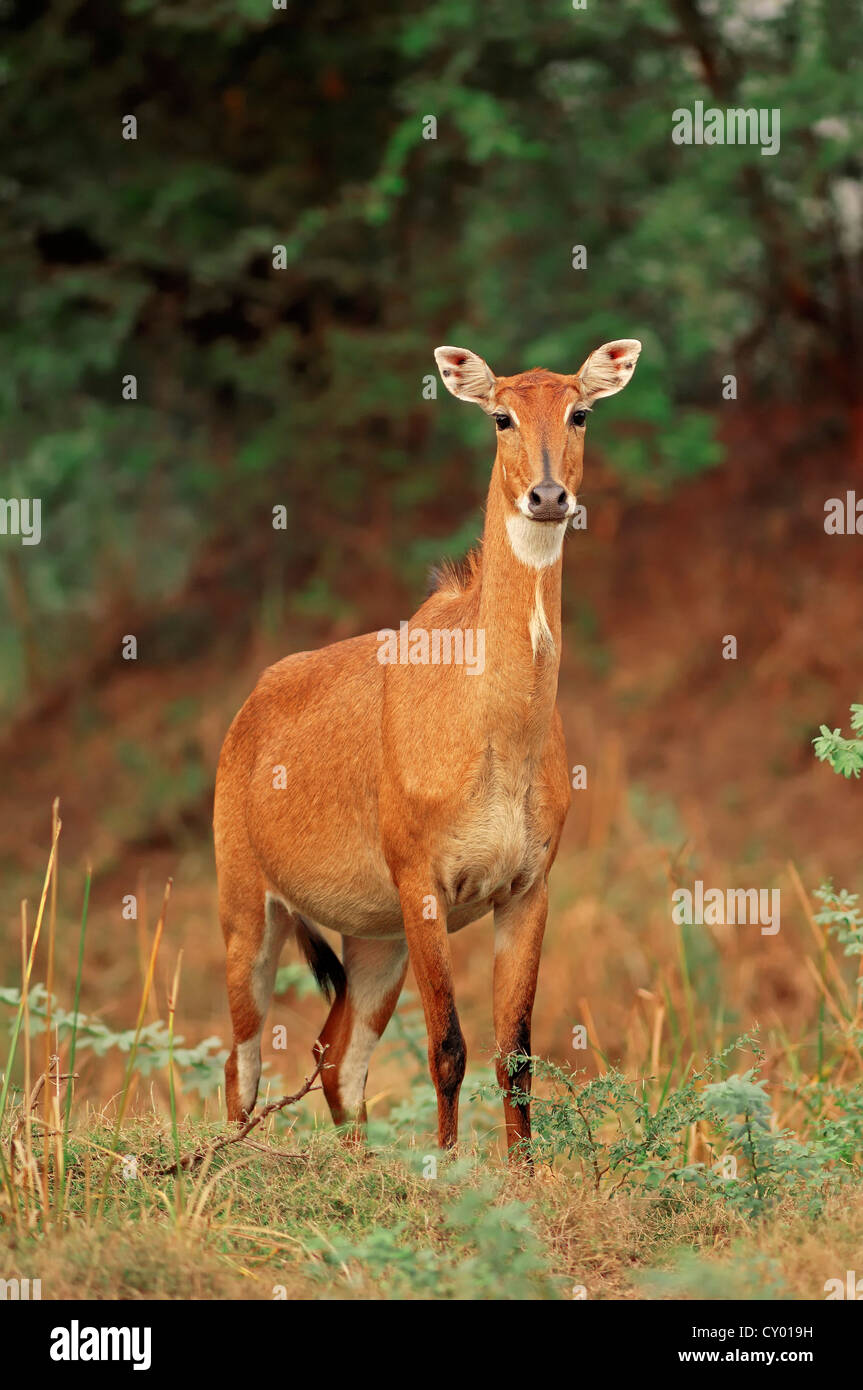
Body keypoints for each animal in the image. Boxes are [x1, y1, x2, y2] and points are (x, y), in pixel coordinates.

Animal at [214, 338, 642, 1155]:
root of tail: (244, 714)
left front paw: (520, 1171)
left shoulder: (527, 889)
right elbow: (449, 1048)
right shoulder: (424, 883)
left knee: (336, 1053)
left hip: (375, 937)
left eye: (580, 412)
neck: (498, 735)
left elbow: (515, 1053)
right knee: (242, 1059)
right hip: (250, 907)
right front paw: (447, 1166)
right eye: (501, 416)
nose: (547, 497)